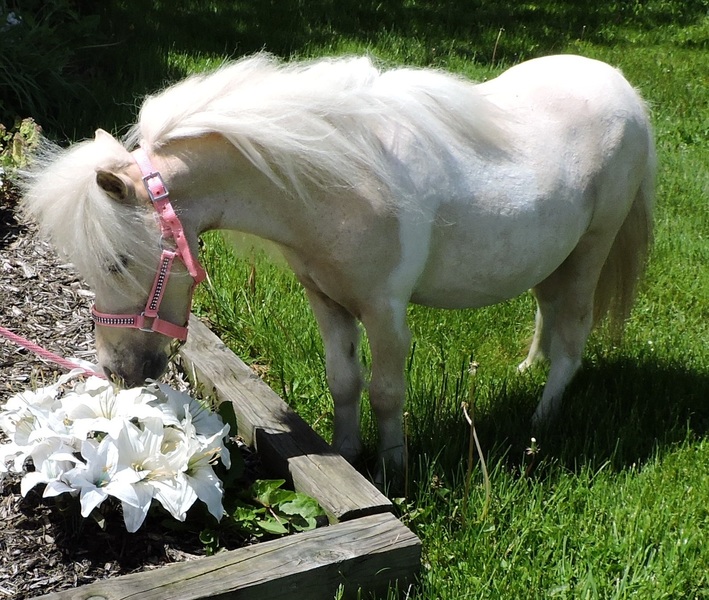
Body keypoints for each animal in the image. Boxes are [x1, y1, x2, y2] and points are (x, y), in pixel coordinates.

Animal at [21, 53, 655, 478]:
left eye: (117, 260)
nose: (119, 372)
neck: (337, 185)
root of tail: (624, 88)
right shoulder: (325, 300)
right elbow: (344, 381)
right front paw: (349, 455)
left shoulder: (386, 311)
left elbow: (386, 392)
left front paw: (394, 472)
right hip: (555, 256)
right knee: (548, 313)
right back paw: (526, 372)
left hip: (591, 250)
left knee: (573, 336)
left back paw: (540, 425)